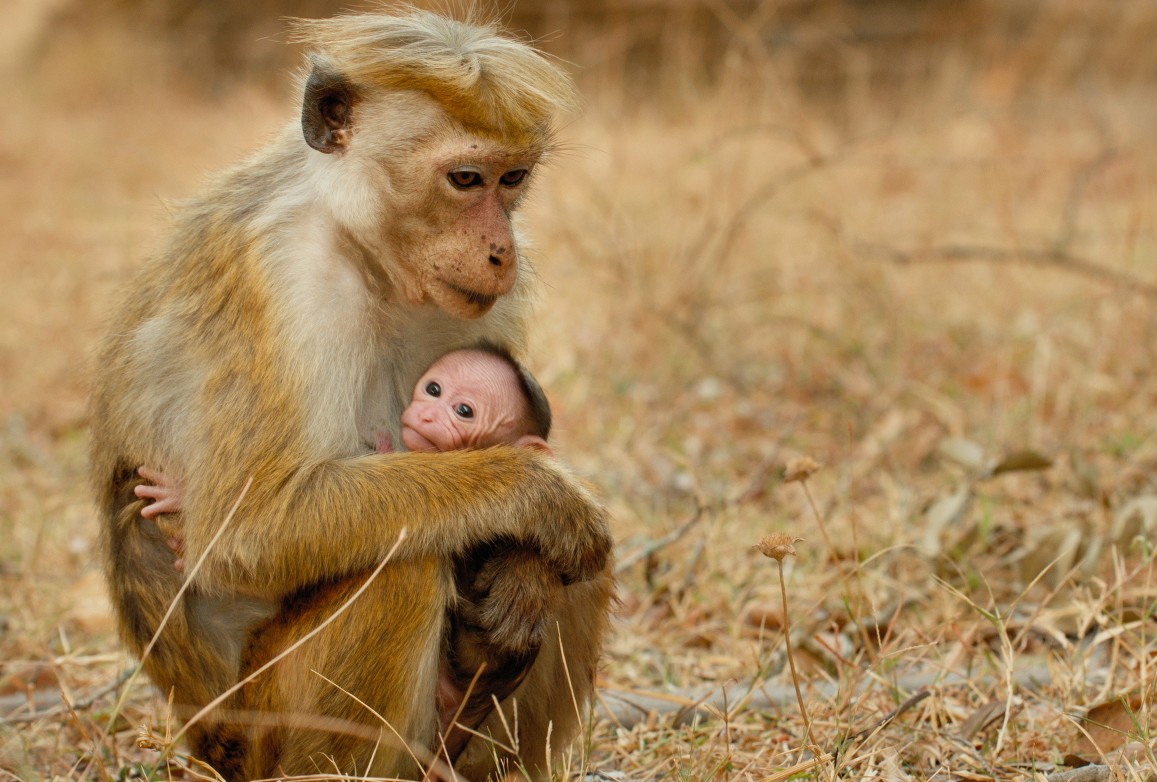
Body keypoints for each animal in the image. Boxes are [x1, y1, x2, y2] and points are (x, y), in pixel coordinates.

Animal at [88, 10, 615, 781]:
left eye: (513, 178)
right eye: (466, 179)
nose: (502, 250)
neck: (360, 249)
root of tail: (206, 735)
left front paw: (522, 575)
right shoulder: (283, 275)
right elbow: (247, 534)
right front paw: (538, 494)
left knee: (577, 571)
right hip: (263, 729)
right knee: (403, 569)